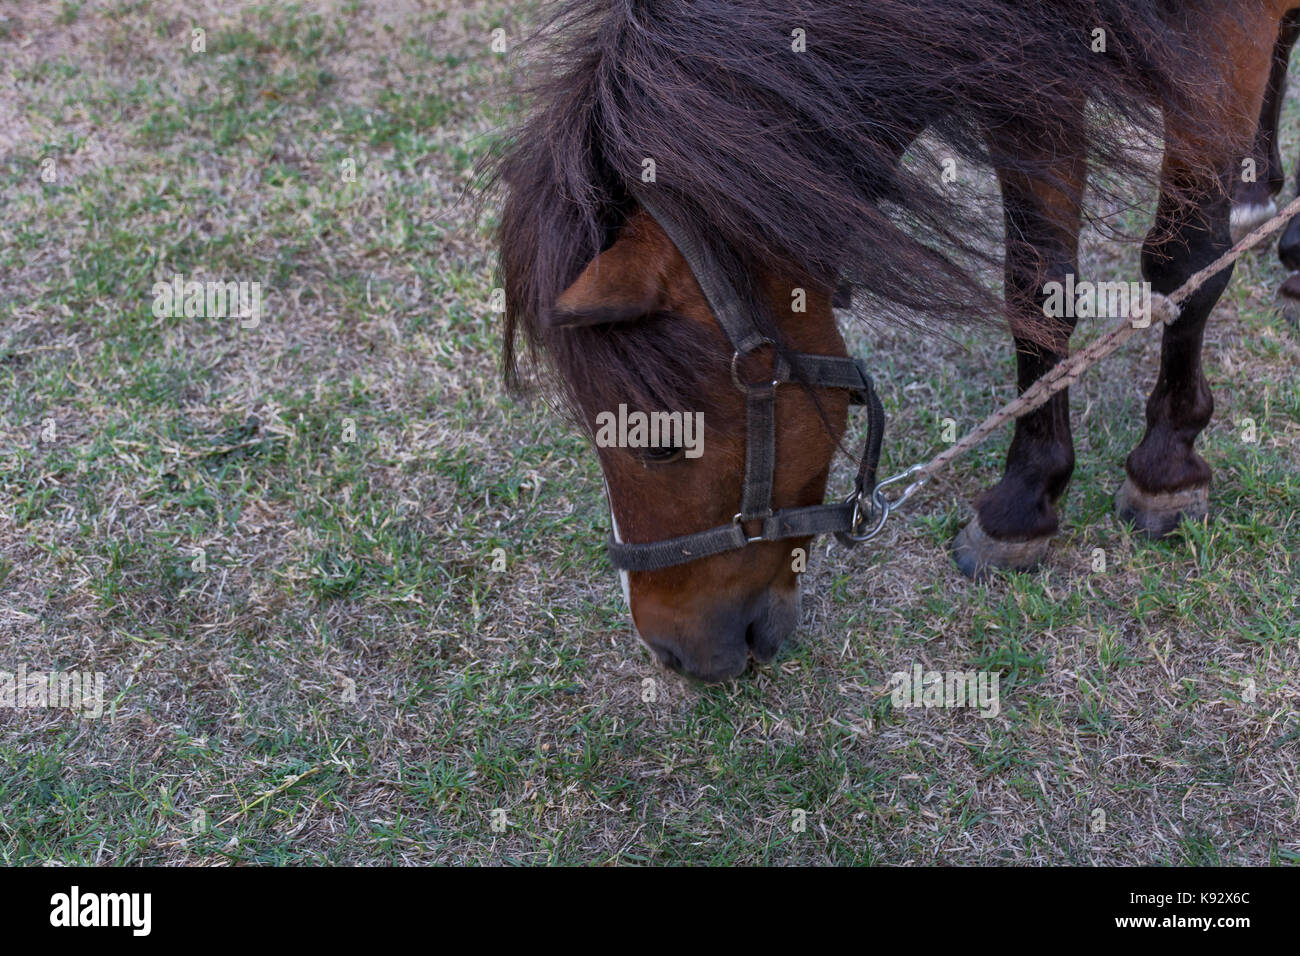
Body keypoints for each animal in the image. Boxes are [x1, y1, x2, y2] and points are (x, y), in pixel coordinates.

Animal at [487, 0, 1295, 682]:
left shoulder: (1217, 39)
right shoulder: (1028, 78)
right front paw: (1025, 501)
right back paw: (1263, 192)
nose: (670, 654)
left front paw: (1168, 464)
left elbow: (1185, 261)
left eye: (658, 444)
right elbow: (1037, 290)